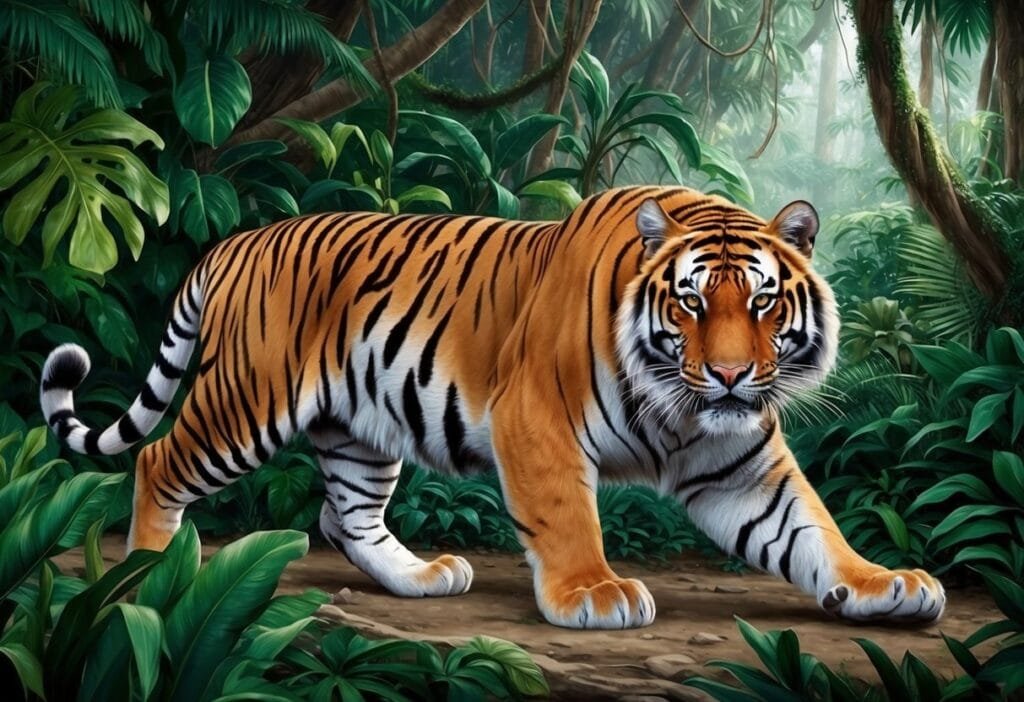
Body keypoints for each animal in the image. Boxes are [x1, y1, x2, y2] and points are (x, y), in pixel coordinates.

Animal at [40, 185, 945, 629]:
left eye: (760, 304)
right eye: (690, 303)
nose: (727, 376)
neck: (684, 409)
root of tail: (234, 241)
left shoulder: (742, 465)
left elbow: (811, 530)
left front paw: (885, 585)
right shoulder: (536, 419)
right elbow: (568, 516)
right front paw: (593, 595)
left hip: (360, 433)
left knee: (346, 517)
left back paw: (422, 578)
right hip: (244, 403)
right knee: (159, 460)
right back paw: (145, 576)